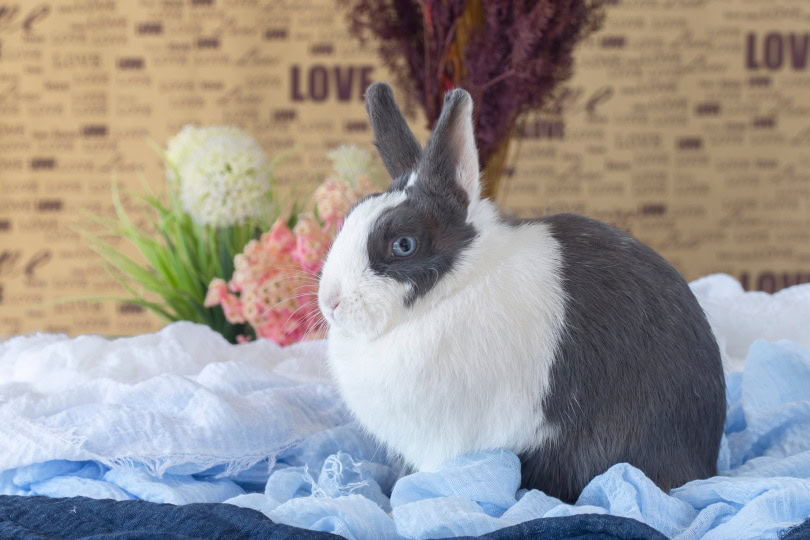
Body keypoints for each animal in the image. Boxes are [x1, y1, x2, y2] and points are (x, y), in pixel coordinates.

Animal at [317, 82, 726, 503]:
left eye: (403, 245)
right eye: (349, 217)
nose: (330, 302)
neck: (457, 285)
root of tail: (702, 463)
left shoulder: (446, 441)